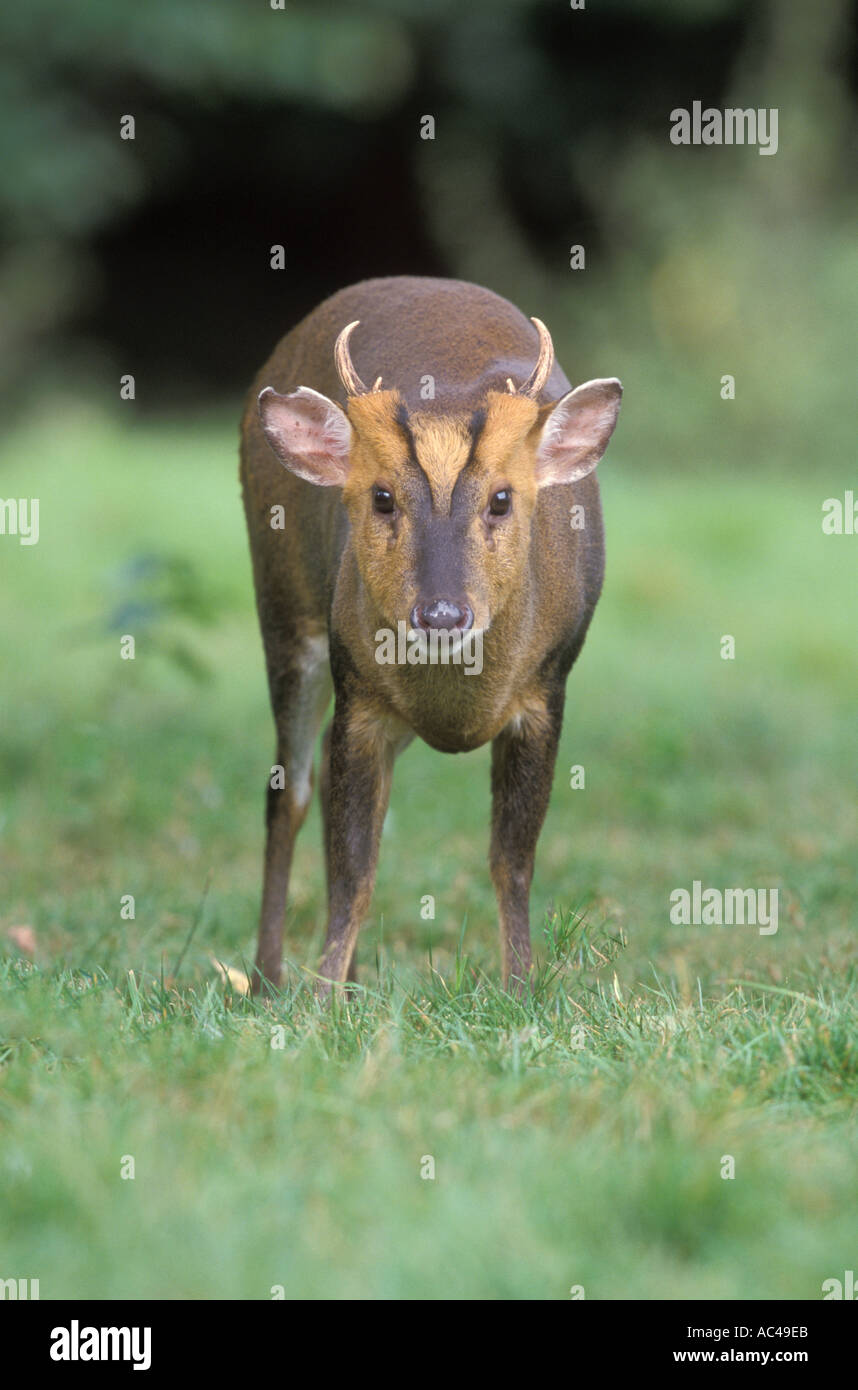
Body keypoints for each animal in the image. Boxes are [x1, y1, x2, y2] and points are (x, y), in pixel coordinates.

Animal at [239, 276, 622, 995]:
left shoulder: (547, 688)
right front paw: (319, 999)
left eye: (502, 498)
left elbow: (511, 861)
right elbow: (355, 871)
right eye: (382, 496)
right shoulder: (359, 690)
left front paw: (521, 990)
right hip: (284, 609)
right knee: (289, 790)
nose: (442, 614)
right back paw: (267, 977)